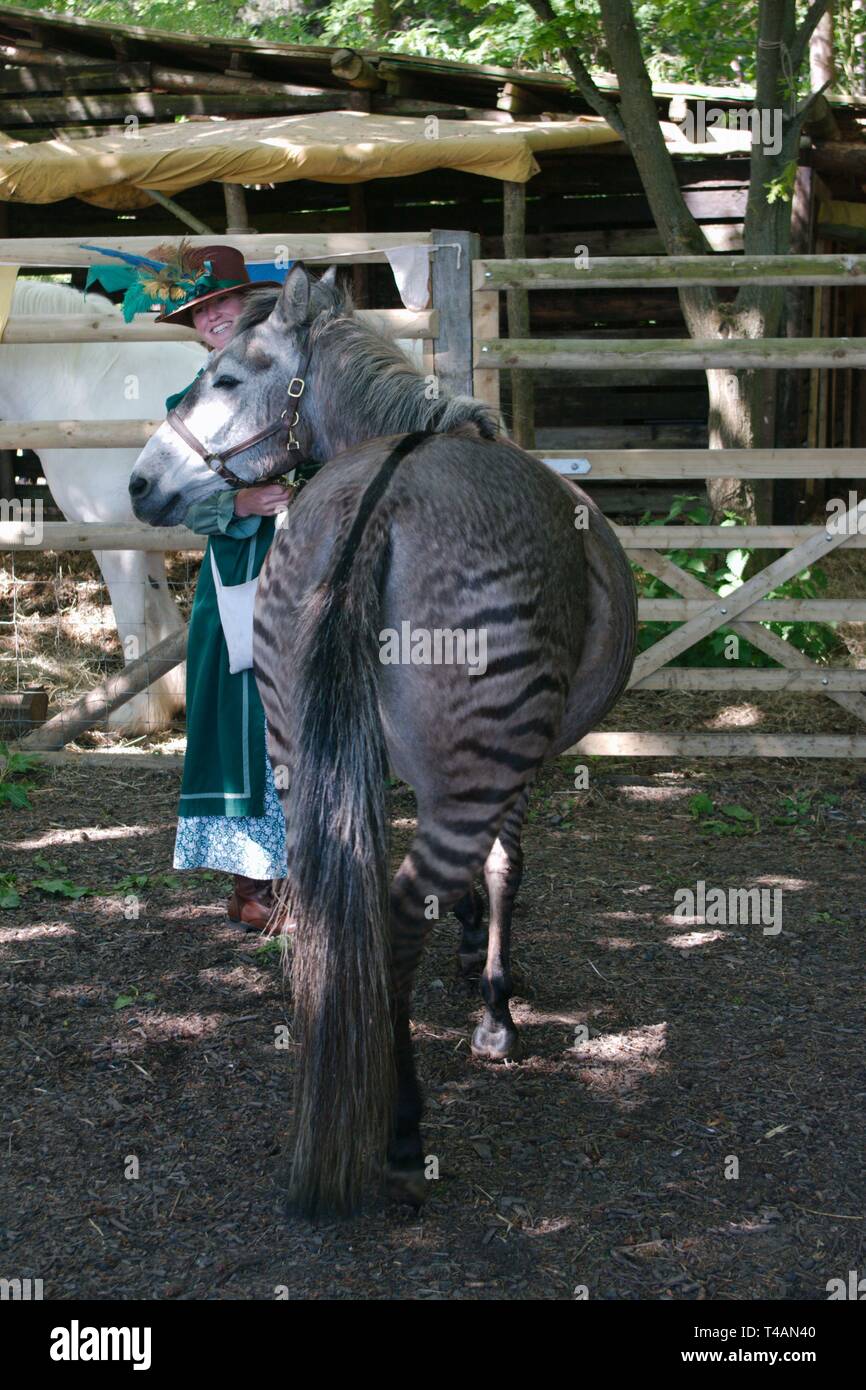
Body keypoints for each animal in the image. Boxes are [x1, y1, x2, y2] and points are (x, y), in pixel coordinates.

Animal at [128, 264, 637, 1216]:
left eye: (224, 380)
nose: (138, 485)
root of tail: (388, 495)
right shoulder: (516, 771)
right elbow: (506, 871)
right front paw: (494, 1006)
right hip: (469, 776)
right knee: (400, 919)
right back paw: (400, 1128)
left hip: (304, 762)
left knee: (338, 905)